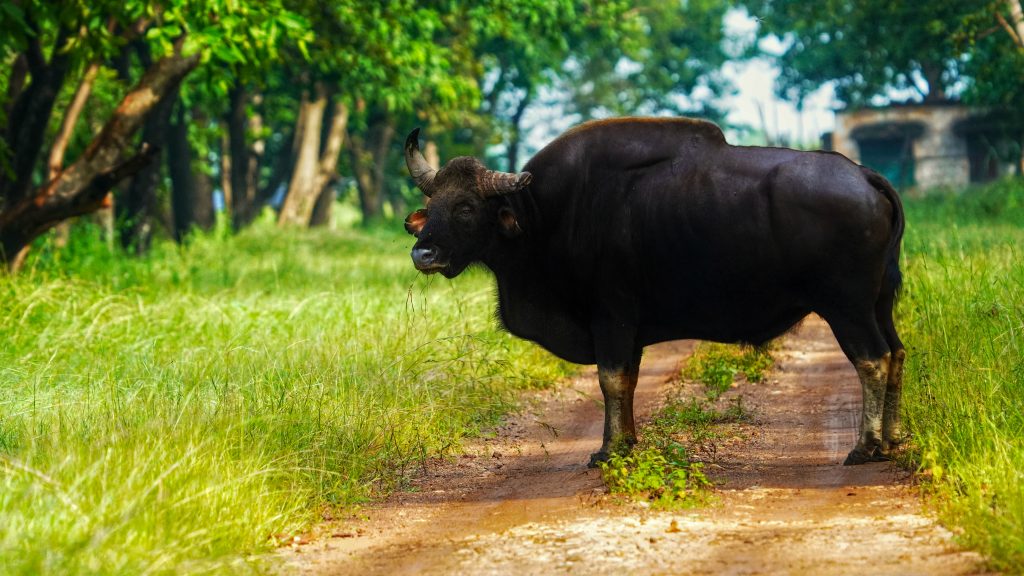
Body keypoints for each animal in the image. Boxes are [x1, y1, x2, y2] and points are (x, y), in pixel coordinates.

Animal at [403, 117, 905, 467]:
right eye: (432, 204)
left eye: (466, 207)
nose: (423, 253)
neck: (549, 216)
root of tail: (866, 176)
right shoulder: (630, 331)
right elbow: (628, 380)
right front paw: (627, 441)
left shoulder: (611, 319)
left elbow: (610, 379)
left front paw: (607, 451)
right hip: (881, 304)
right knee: (897, 354)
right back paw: (892, 441)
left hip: (846, 307)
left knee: (872, 360)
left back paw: (865, 447)